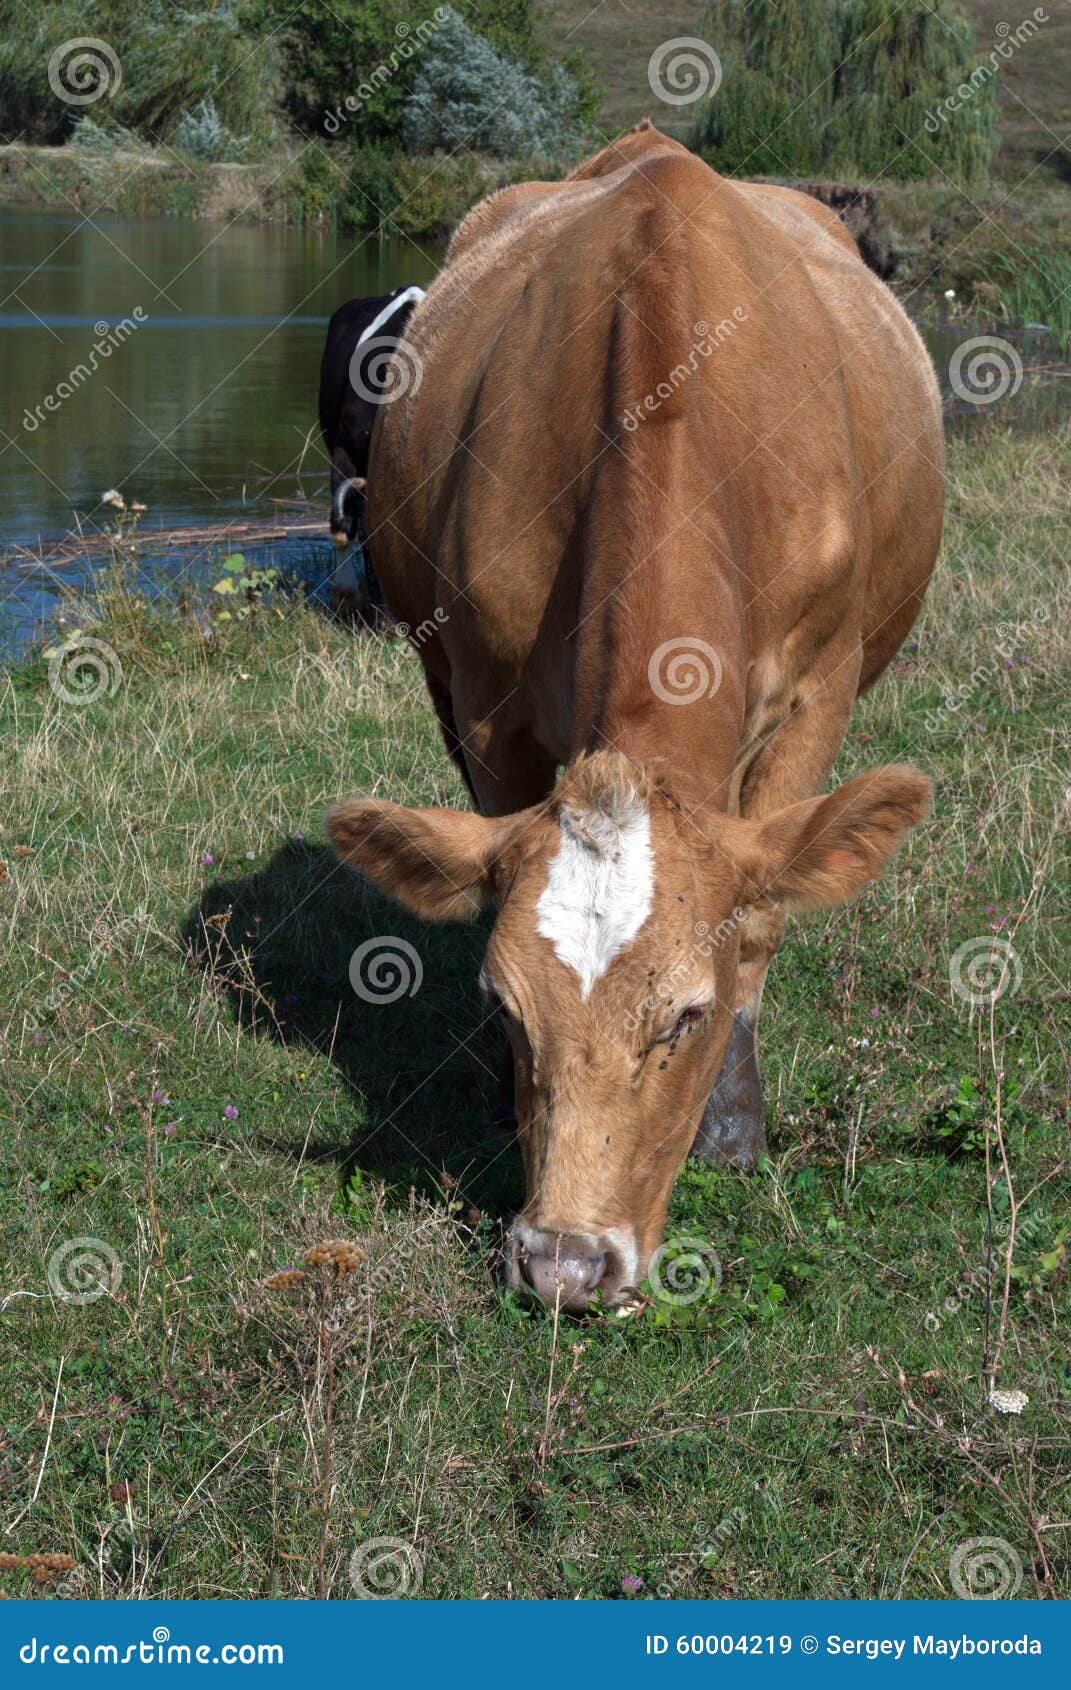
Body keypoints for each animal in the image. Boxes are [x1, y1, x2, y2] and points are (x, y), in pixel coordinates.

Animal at [326, 123, 944, 1311]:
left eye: (687, 1016)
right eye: (508, 1007)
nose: (565, 1263)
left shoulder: (821, 687)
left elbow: (761, 916)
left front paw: (733, 1128)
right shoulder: (488, 702)